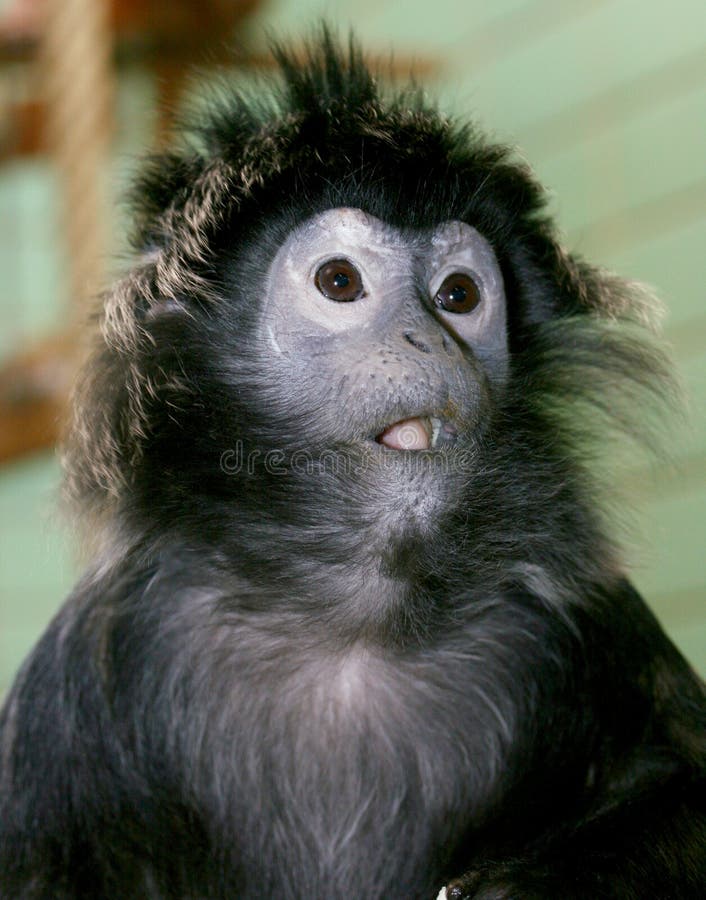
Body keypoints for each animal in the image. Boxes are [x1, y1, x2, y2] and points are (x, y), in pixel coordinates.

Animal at [1, 30, 705, 900]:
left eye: (460, 294)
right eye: (340, 281)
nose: (430, 341)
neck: (360, 613)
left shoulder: (591, 602)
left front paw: (524, 881)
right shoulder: (96, 637)